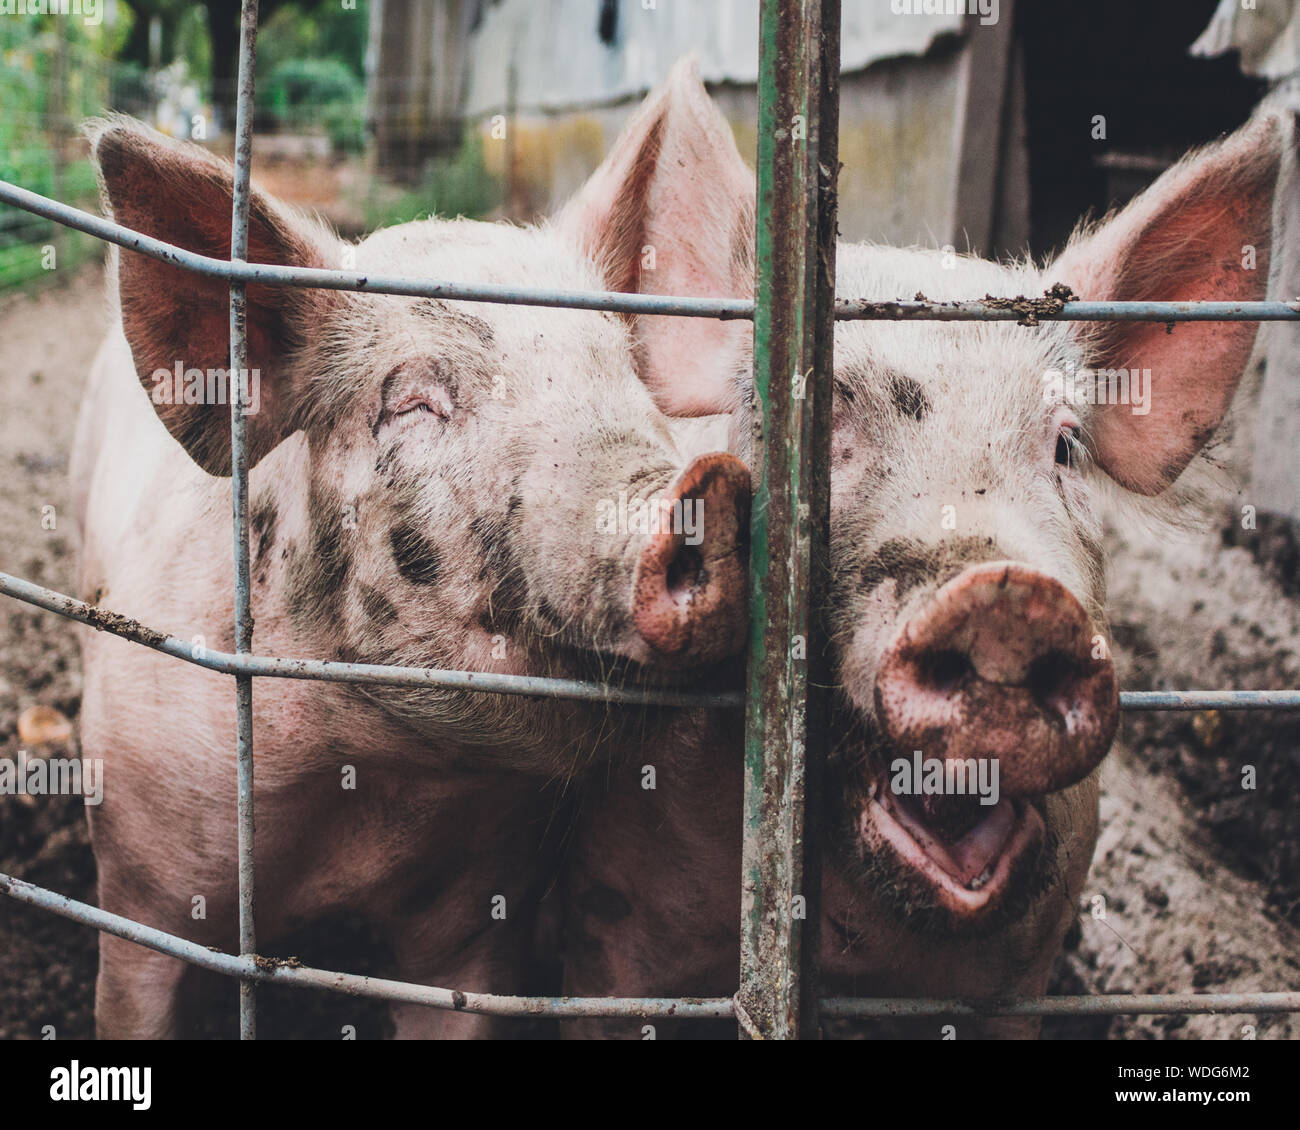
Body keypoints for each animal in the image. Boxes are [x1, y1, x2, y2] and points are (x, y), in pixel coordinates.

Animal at [70, 73, 753, 1039]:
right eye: (414, 402)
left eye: (624, 380)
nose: (707, 486)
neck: (360, 785)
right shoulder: (138, 883)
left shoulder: (475, 927)